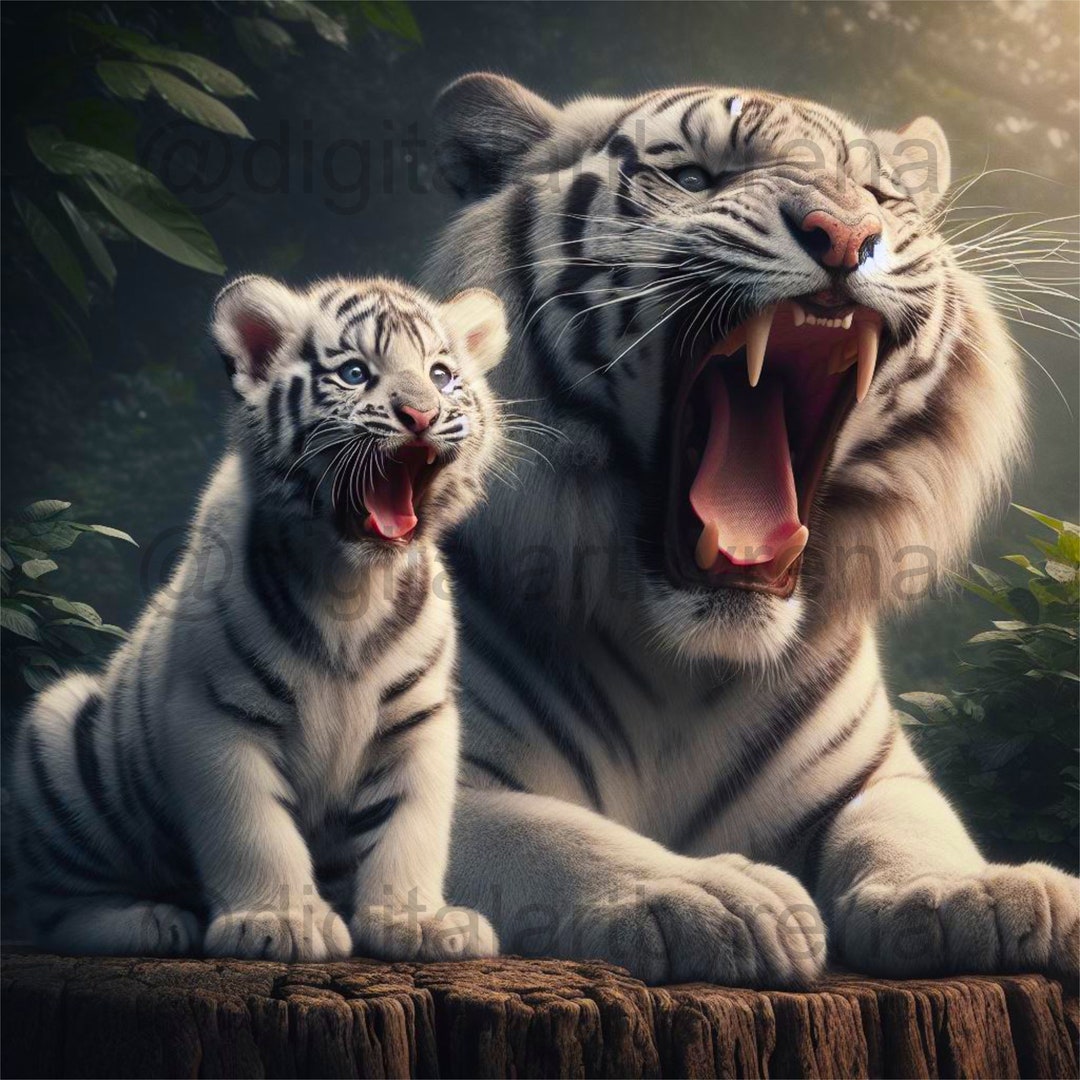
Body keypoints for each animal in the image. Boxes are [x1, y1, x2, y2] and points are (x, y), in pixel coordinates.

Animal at [10, 274, 506, 961]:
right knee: (55, 908)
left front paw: (417, 922)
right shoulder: (215, 712)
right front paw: (281, 922)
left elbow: (409, 827)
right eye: (355, 373)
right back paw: (148, 921)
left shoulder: (420, 718)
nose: (423, 415)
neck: (352, 582)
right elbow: (254, 829)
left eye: (442, 375)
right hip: (57, 735)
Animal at [423, 74, 1080, 985]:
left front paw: (980, 891)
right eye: (696, 178)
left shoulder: (878, 771)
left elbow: (908, 824)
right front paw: (716, 896)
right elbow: (547, 835)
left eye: (881, 197)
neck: (684, 666)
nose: (847, 234)